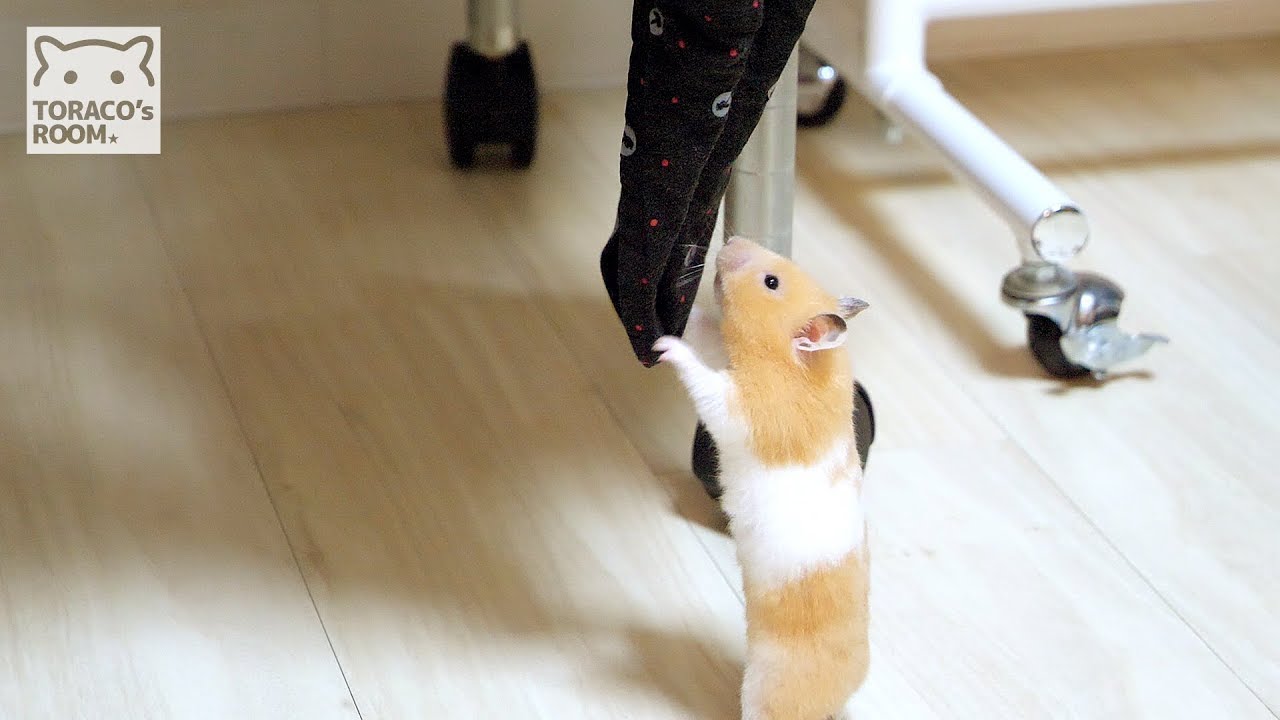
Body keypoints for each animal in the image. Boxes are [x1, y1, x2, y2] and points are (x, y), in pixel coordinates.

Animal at [653, 236, 870, 720]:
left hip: (766, 691)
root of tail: (845, 691)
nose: (732, 240)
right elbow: (707, 328)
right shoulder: (725, 353)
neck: (794, 365)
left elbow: (703, 378)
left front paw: (665, 343)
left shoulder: (741, 407)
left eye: (771, 282)